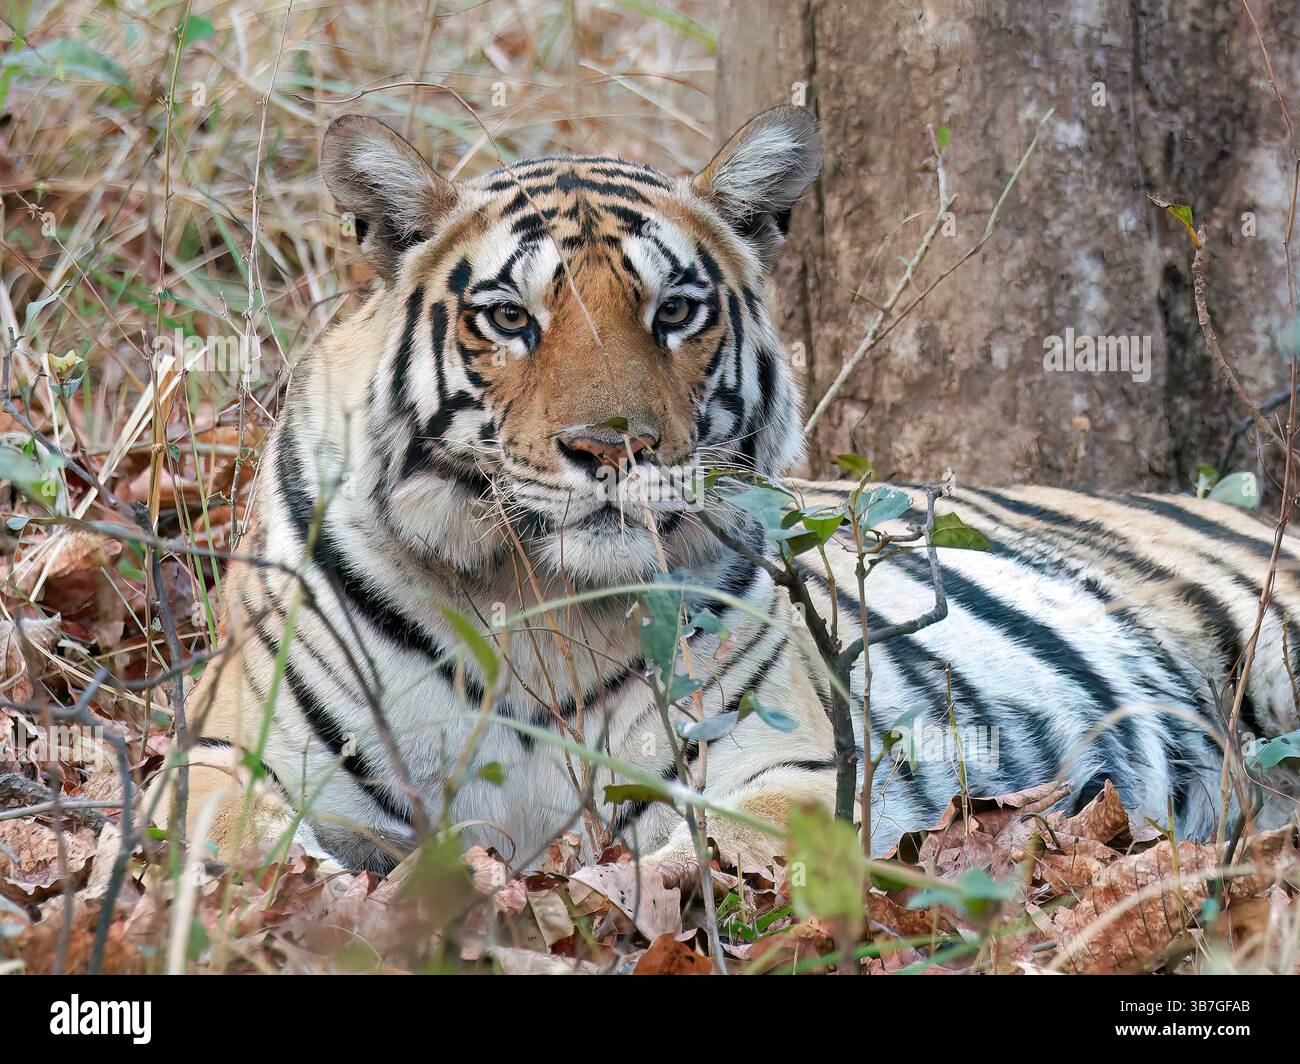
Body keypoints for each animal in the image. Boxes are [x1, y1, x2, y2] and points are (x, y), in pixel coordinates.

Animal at [151, 105, 1300, 879]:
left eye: (675, 310)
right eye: (510, 317)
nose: (609, 448)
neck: (538, 602)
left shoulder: (791, 758)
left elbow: (722, 852)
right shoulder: (222, 755)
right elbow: (244, 843)